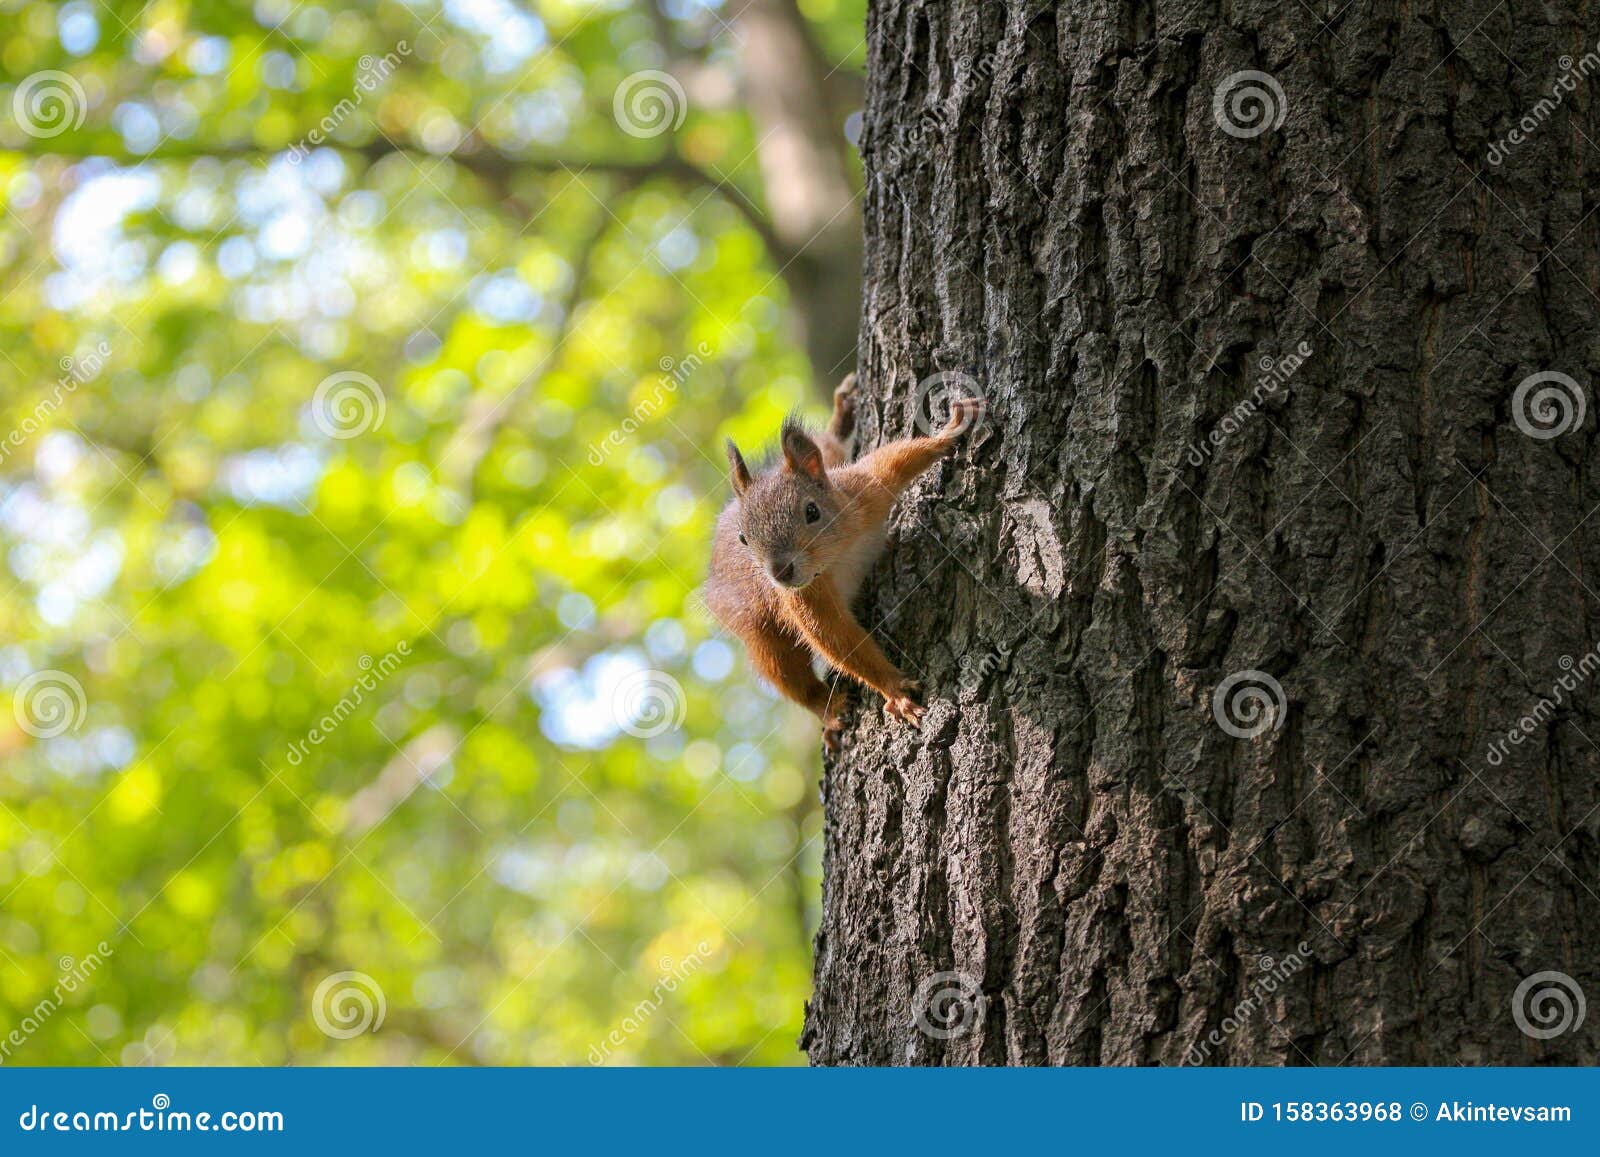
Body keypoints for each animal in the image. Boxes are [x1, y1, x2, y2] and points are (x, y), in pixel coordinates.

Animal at [705, 373, 983, 752]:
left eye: (812, 511)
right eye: (743, 538)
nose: (781, 573)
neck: (836, 554)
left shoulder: (863, 493)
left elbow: (897, 458)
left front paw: (948, 433)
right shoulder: (804, 596)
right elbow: (839, 640)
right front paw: (894, 691)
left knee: (829, 447)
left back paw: (842, 413)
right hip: (757, 628)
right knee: (788, 675)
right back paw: (829, 708)